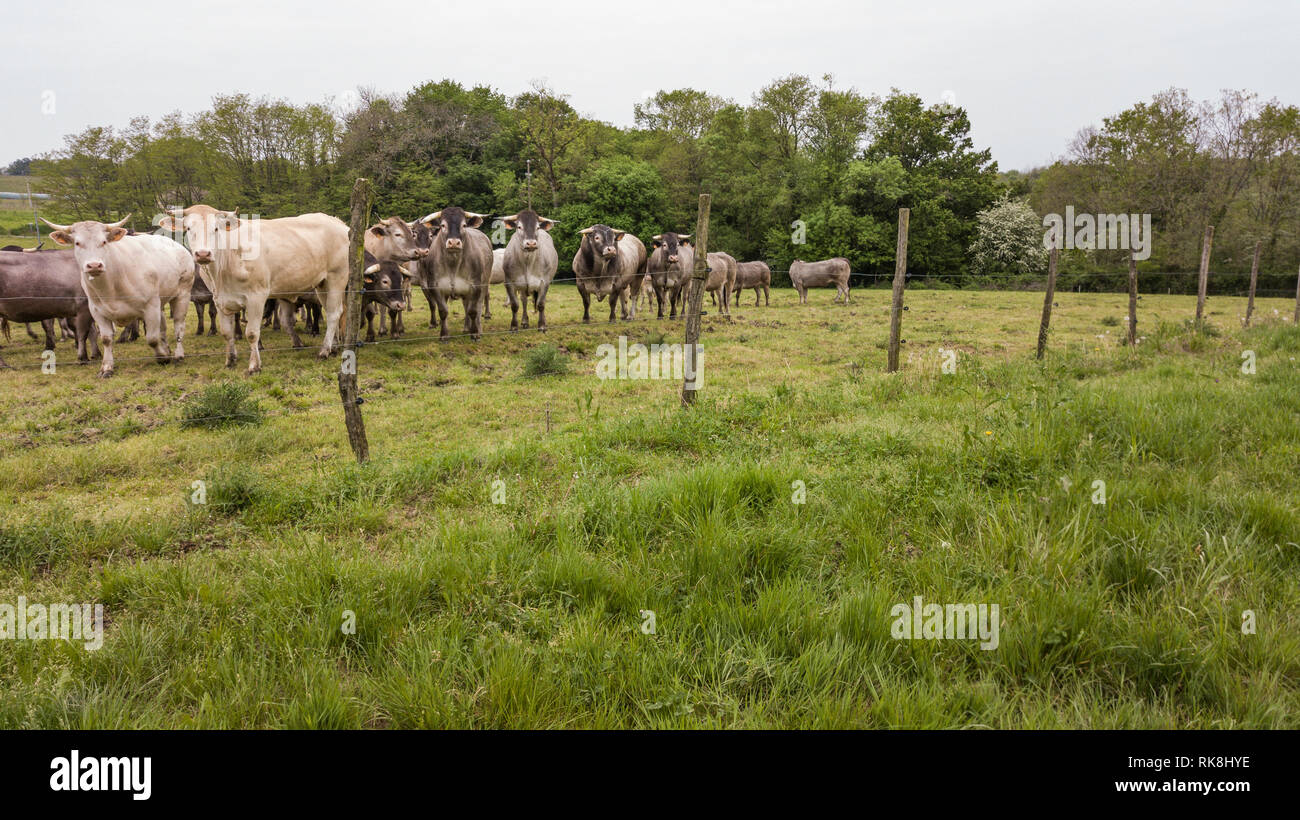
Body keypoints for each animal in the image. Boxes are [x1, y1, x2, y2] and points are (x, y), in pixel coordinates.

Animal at [42, 216, 193, 376]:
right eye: (77, 243)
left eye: (104, 242)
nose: (94, 265)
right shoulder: (97, 311)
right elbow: (106, 339)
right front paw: (107, 367)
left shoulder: (150, 306)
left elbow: (152, 338)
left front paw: (162, 357)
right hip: (161, 302)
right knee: (163, 327)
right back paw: (167, 348)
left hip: (182, 294)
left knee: (178, 326)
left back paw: (178, 354)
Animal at [159, 205, 349, 373]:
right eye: (189, 228)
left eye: (216, 229)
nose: (203, 254)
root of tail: (336, 221)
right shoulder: (219, 300)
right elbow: (227, 333)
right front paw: (230, 360)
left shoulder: (257, 297)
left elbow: (251, 333)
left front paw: (254, 366)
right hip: (322, 284)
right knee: (332, 312)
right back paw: (334, 347)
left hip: (336, 277)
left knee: (333, 314)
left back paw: (324, 351)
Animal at [416, 207, 493, 340]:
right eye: (442, 225)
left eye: (464, 225)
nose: (453, 242)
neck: (453, 264)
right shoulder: (435, 286)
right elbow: (443, 311)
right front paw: (444, 334)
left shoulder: (476, 285)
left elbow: (473, 311)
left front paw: (475, 333)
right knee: (466, 306)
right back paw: (466, 327)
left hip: (484, 284)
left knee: (478, 306)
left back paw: (477, 328)